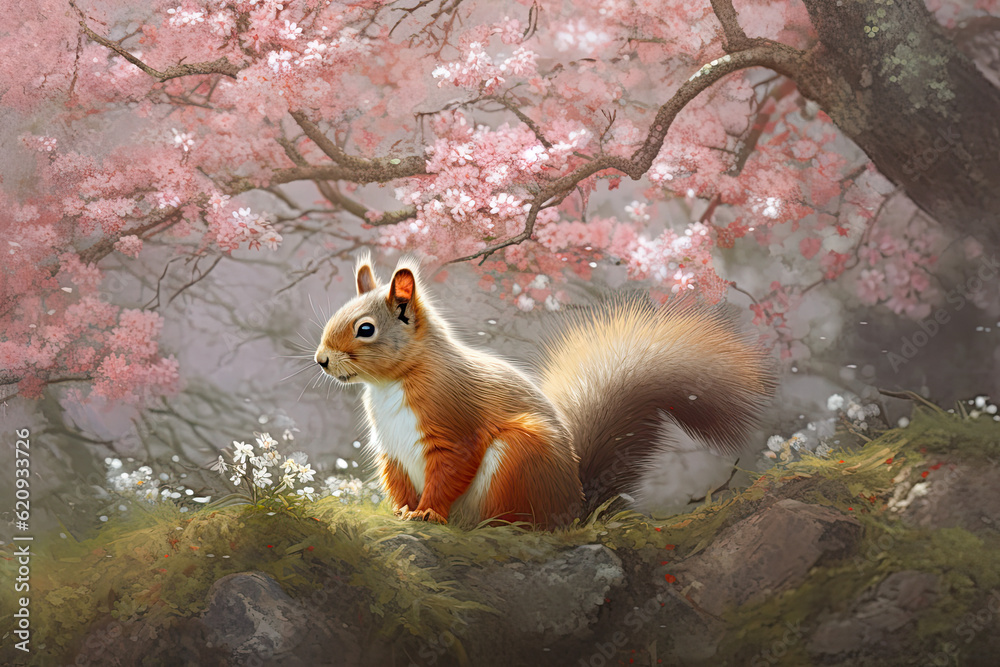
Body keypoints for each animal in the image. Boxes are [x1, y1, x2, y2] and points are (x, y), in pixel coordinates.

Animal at [314, 255, 775, 529]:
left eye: (366, 329)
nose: (321, 360)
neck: (393, 383)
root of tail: (575, 512)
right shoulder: (391, 448)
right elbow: (397, 482)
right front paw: (401, 510)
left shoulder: (453, 425)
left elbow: (450, 469)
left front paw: (428, 512)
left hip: (521, 455)